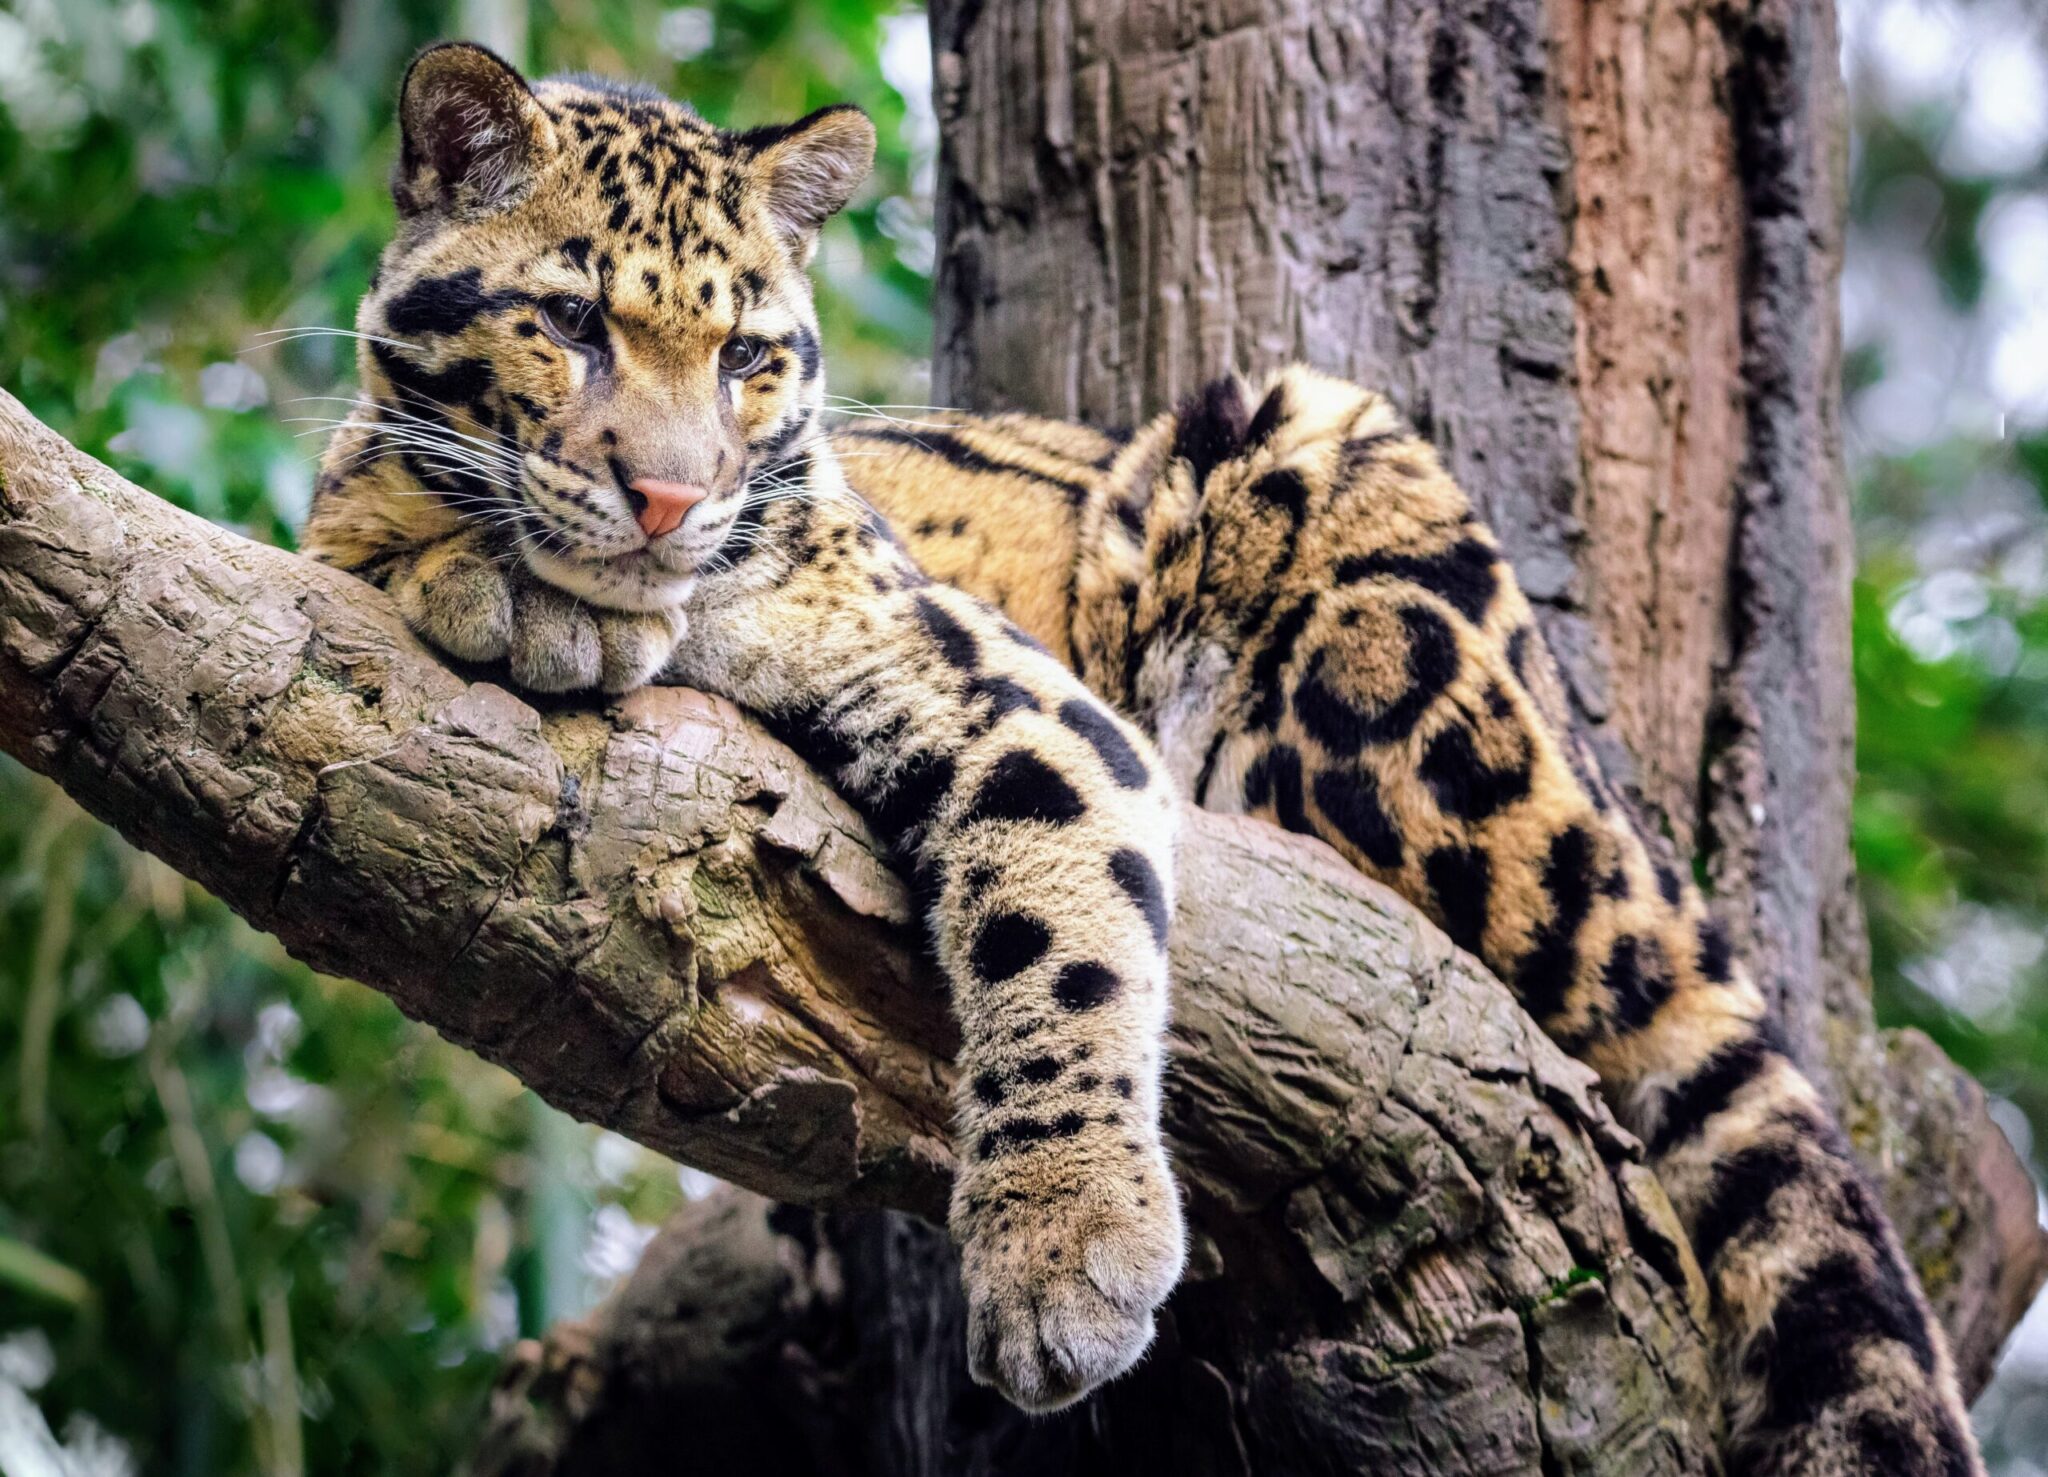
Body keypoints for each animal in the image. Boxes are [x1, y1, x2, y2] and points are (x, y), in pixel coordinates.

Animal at [300, 42, 1984, 1475]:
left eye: (747, 358)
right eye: (572, 323)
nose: (668, 497)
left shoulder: (996, 683)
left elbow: (1059, 929)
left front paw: (1066, 1250)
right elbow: (375, 509)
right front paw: (481, 571)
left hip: (1319, 486)